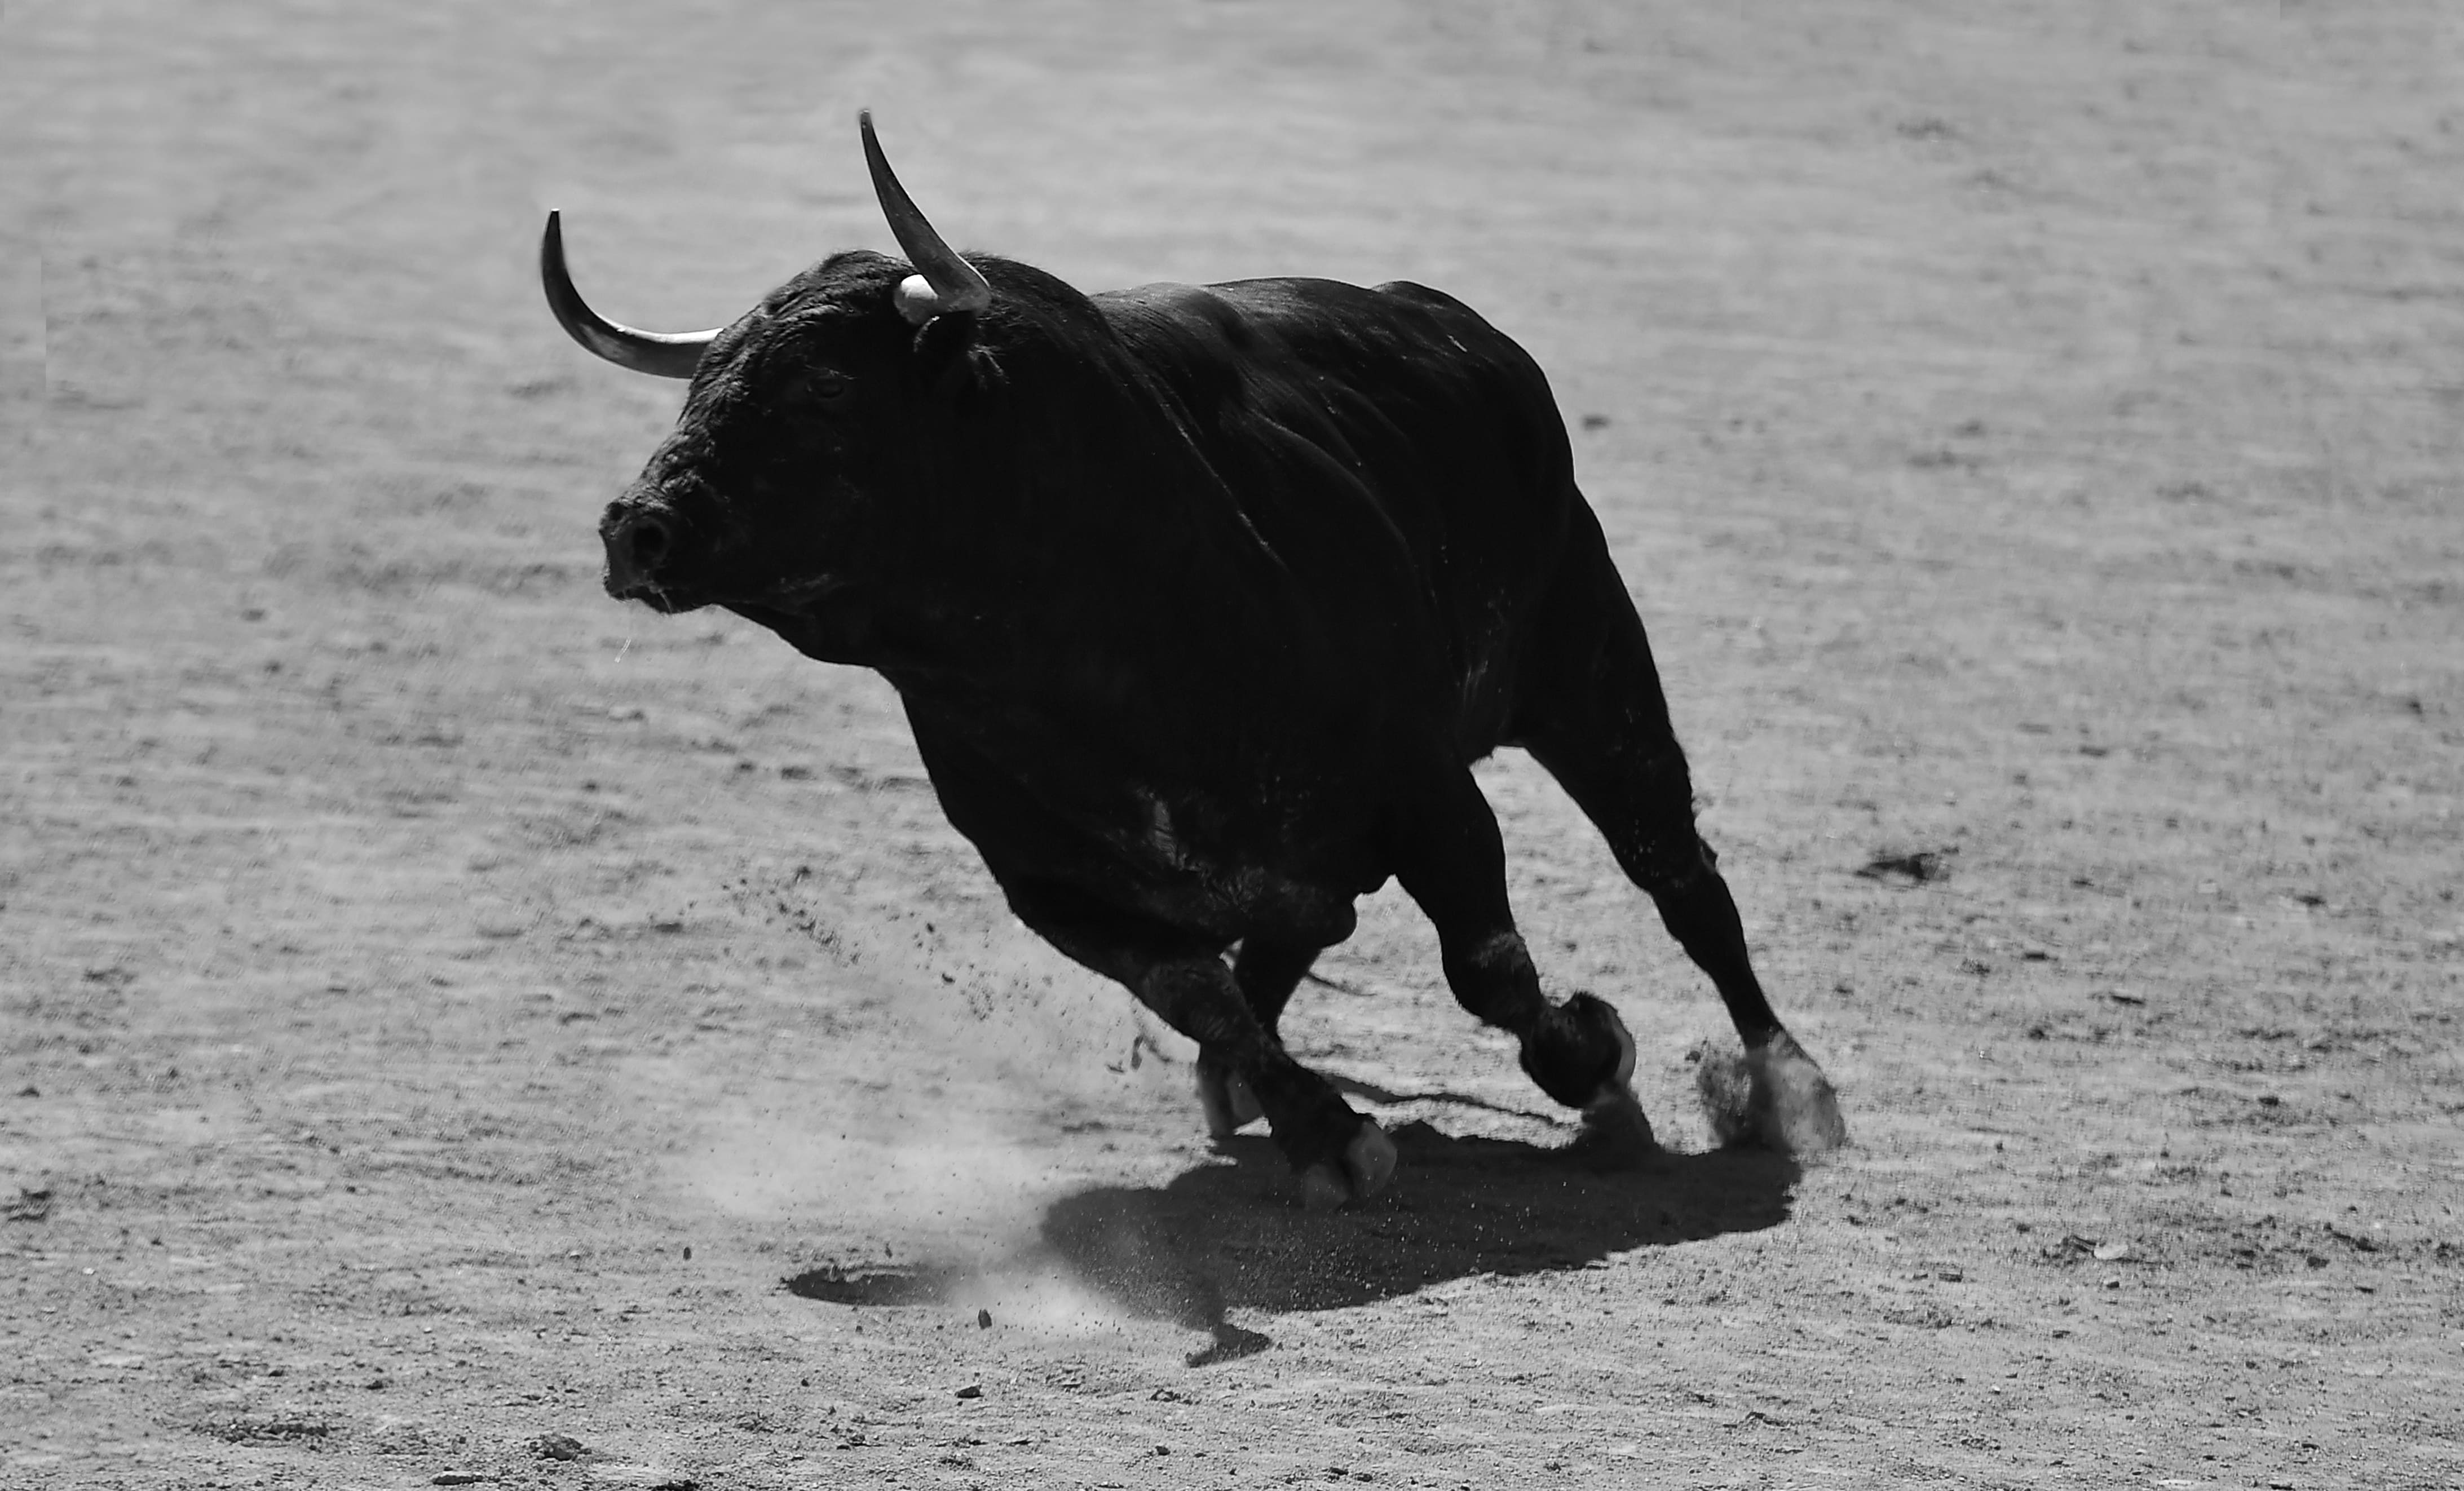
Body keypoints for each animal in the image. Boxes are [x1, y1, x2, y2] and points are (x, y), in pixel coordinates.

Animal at [541, 113, 1845, 1209]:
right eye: (703, 385)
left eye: (820, 390)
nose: (636, 528)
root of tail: (1472, 342)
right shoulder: (1051, 884)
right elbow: (1203, 1000)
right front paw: (1325, 1131)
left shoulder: (1426, 789)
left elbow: (1487, 964)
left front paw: (1593, 1056)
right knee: (1308, 930)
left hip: (1592, 670)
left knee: (1679, 876)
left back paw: (1790, 1087)